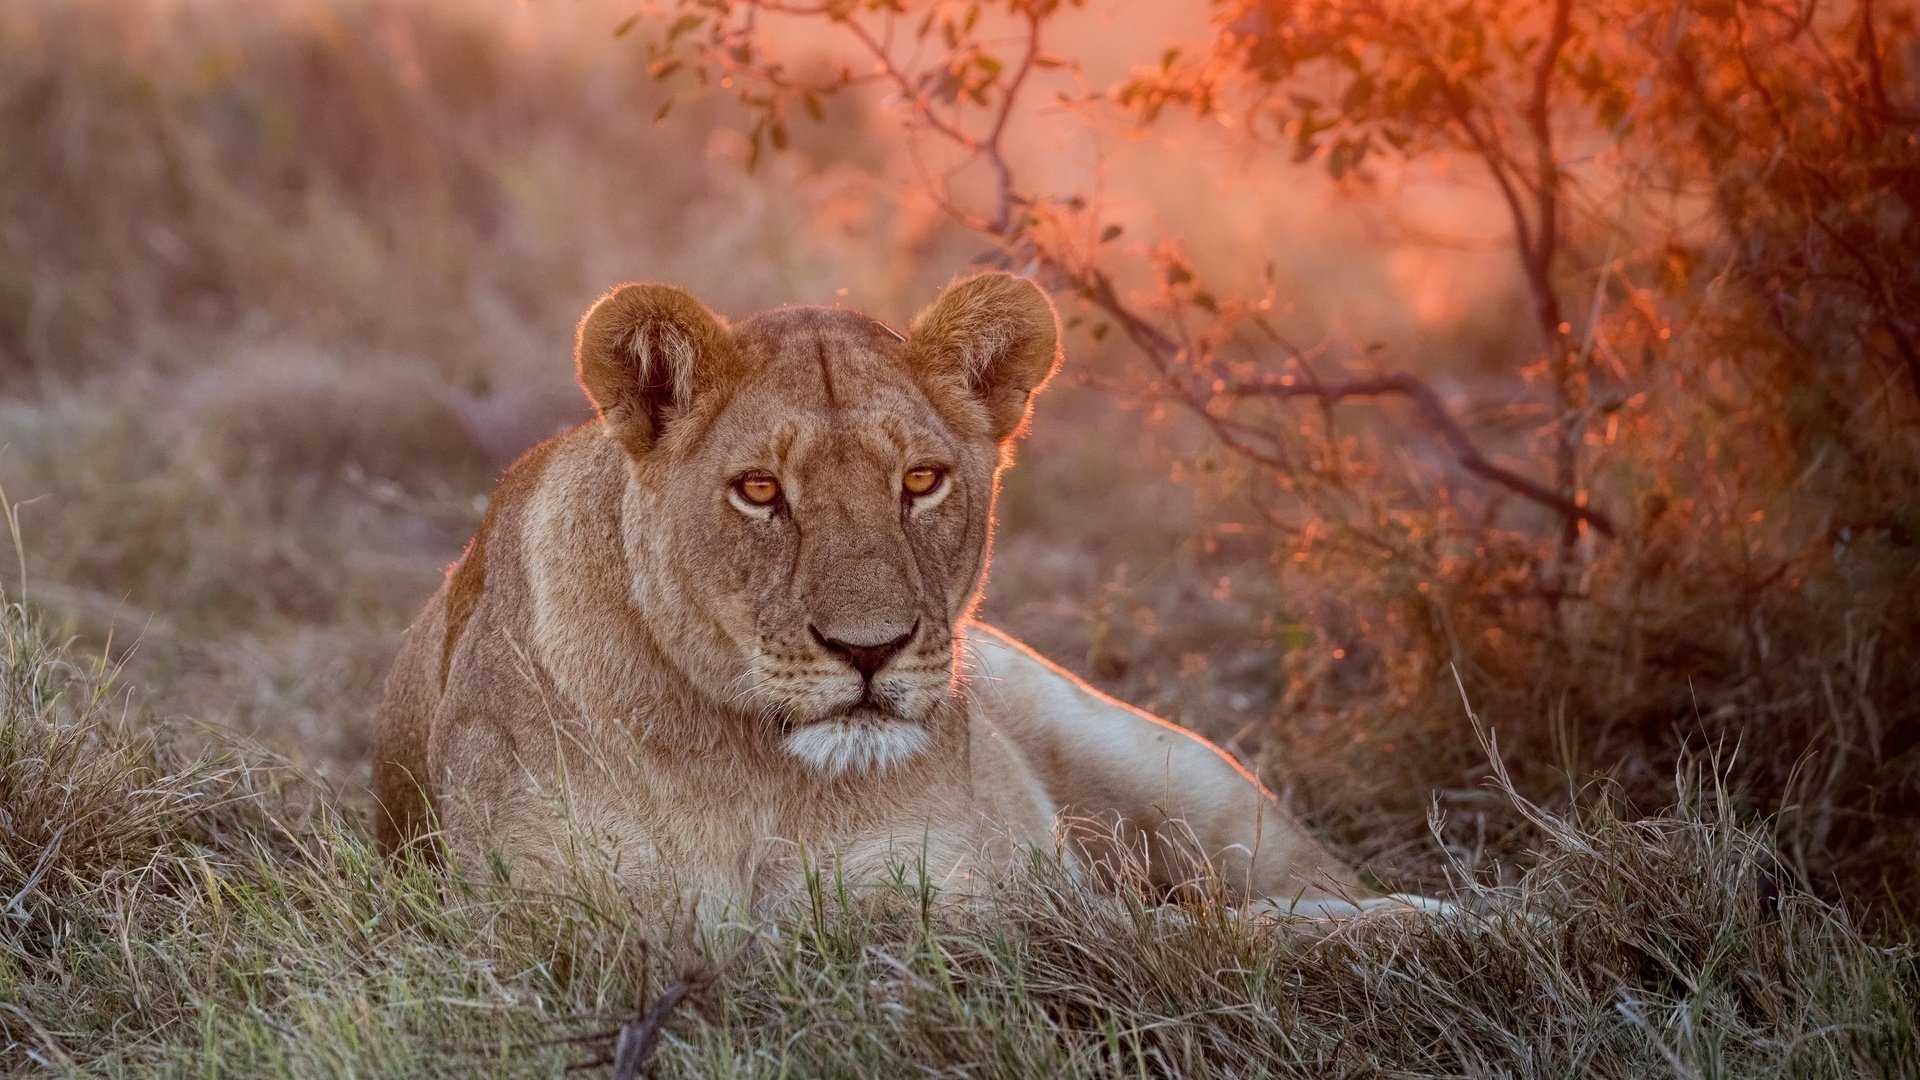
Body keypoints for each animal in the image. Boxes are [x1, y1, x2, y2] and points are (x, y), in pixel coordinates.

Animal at [371, 272, 1440, 927]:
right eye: (759, 490)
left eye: (921, 481)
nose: (870, 649)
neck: (759, 778)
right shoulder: (553, 917)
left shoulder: (973, 899)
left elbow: (1213, 936)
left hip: (1179, 773)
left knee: (1295, 885)